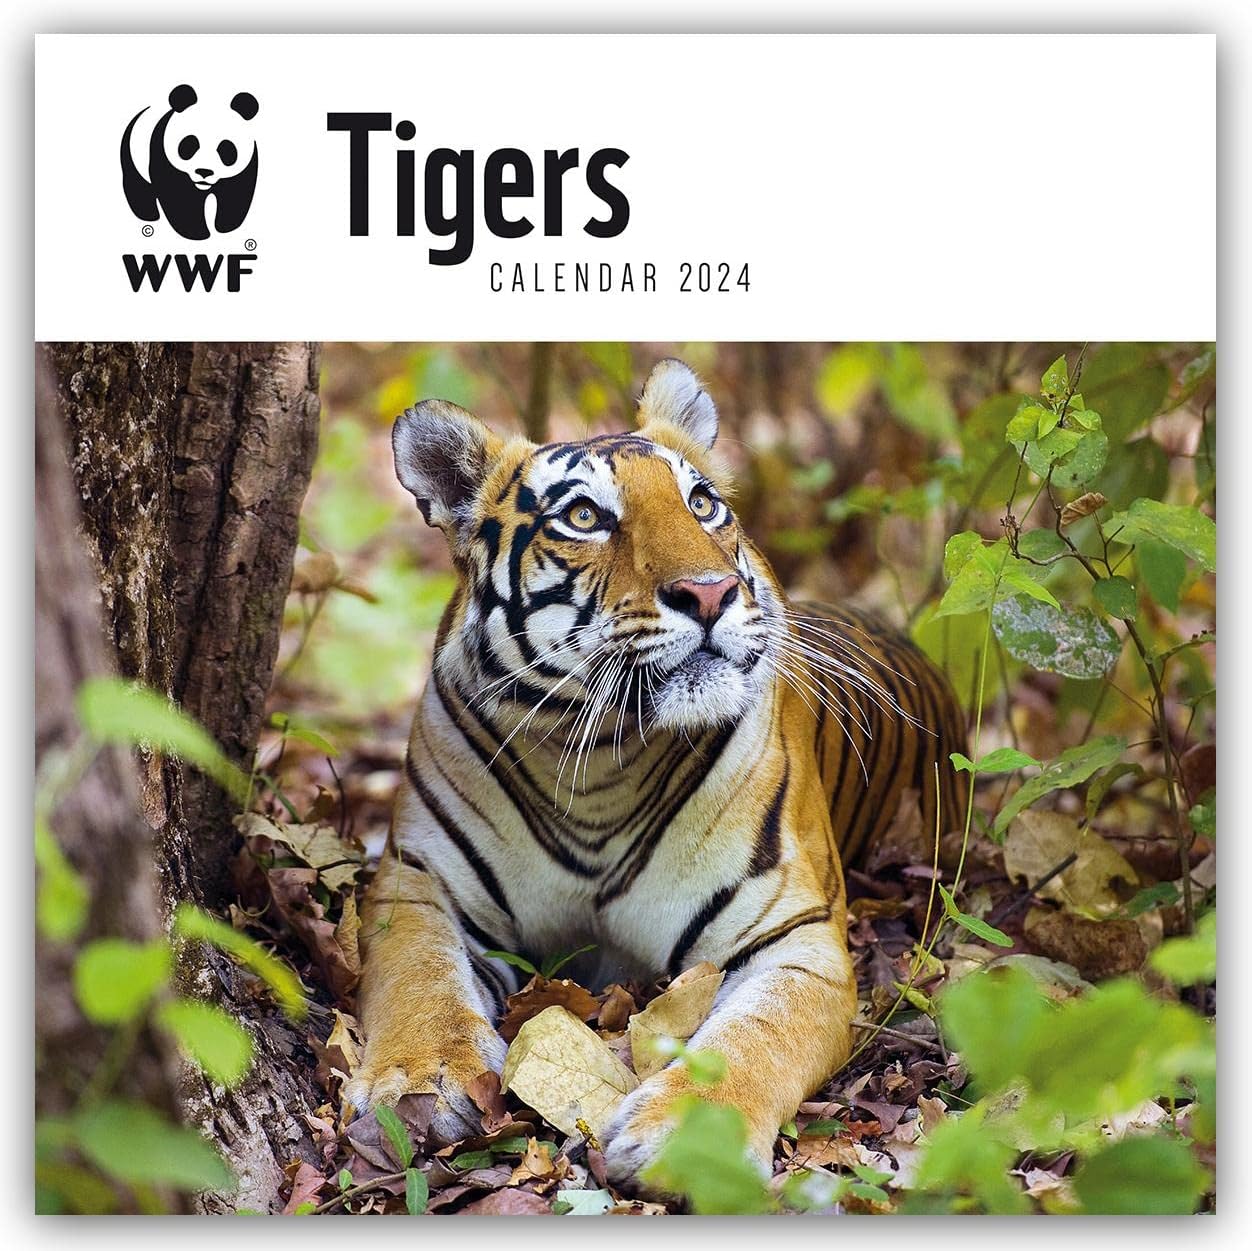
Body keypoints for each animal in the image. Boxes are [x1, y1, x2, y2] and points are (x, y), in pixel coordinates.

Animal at [343, 358, 968, 1186]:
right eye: (583, 517)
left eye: (702, 503)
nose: (709, 592)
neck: (600, 759)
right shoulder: (419, 881)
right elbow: (420, 979)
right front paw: (418, 1081)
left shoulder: (794, 936)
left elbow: (755, 1037)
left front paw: (692, 1136)